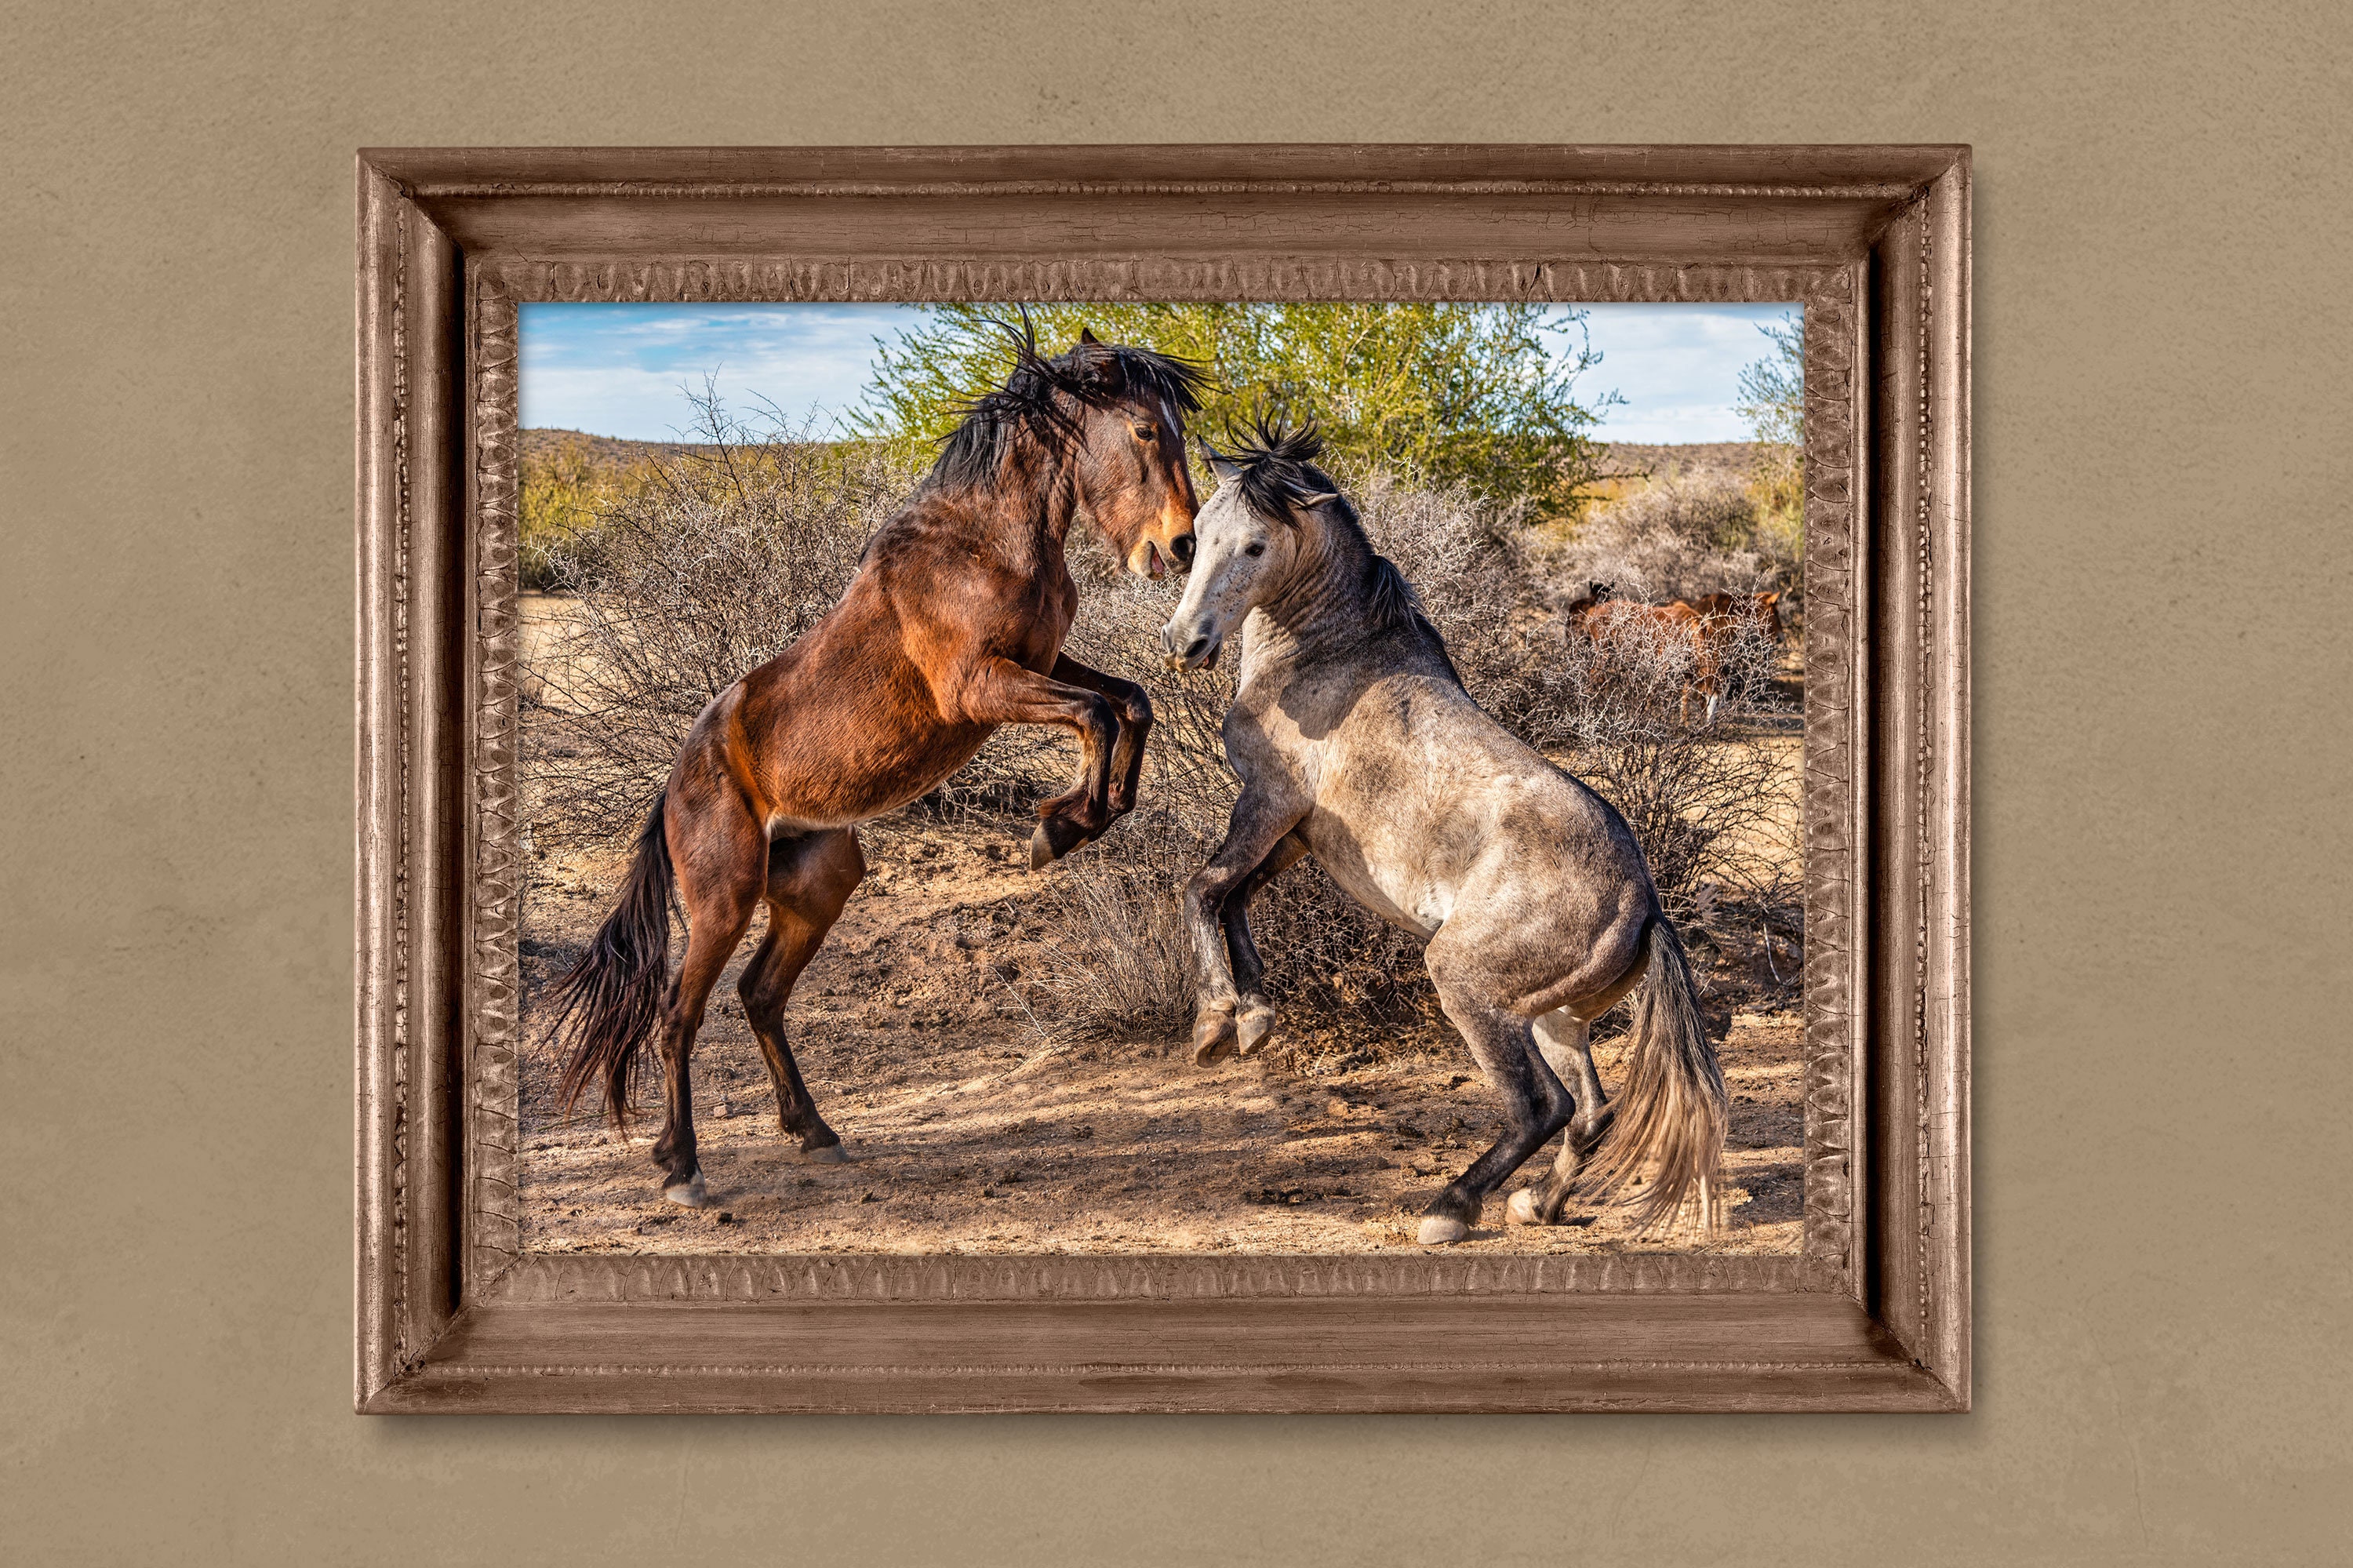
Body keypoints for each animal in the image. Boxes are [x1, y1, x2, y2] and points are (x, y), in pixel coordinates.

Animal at [546, 324, 1207, 1206]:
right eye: (1143, 429)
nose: (1184, 544)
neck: (984, 540)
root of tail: (672, 790)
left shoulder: (1043, 660)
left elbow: (1132, 703)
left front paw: (1075, 821)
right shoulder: (978, 686)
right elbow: (1101, 713)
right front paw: (1060, 828)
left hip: (820, 883)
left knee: (760, 995)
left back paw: (814, 1132)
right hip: (724, 899)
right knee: (678, 1017)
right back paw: (682, 1167)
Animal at [1160, 420, 1727, 1243]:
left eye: (1256, 545)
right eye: (1198, 533)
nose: (1185, 642)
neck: (1330, 655)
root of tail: (1645, 908)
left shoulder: (1268, 802)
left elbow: (1202, 888)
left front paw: (1213, 1023)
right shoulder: (1297, 834)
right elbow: (1235, 897)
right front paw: (1256, 1017)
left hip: (1467, 985)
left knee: (1543, 1105)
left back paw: (1449, 1208)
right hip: (1555, 1017)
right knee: (1592, 1113)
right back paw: (1538, 1205)